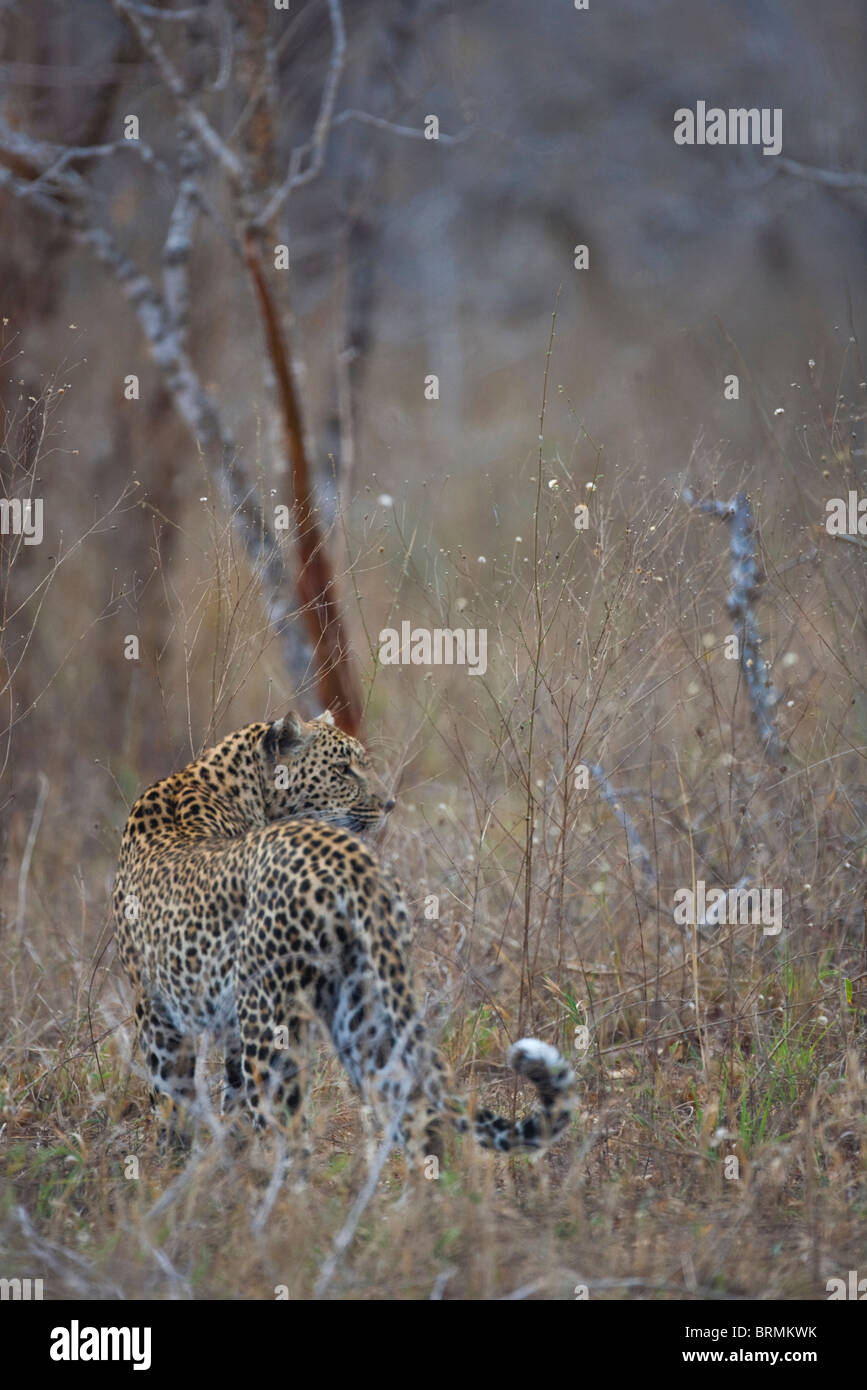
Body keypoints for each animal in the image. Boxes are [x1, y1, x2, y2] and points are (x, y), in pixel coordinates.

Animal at [113, 711, 576, 1170]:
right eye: (343, 769)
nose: (389, 804)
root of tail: (351, 862)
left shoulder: (156, 1008)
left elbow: (171, 1098)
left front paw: (176, 1169)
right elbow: (222, 1103)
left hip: (269, 1017)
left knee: (289, 1136)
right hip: (367, 1008)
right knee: (415, 1115)